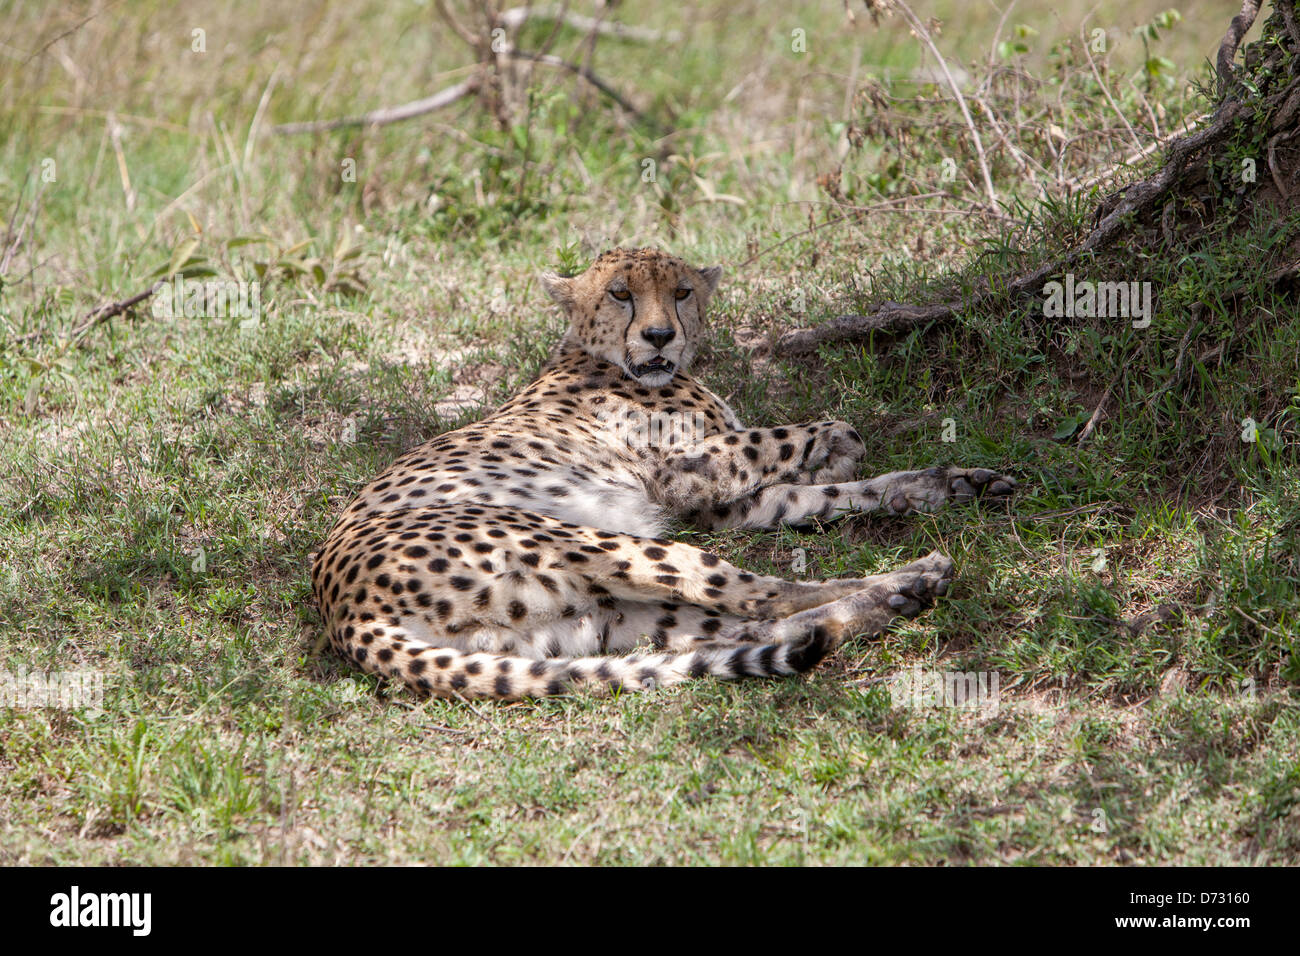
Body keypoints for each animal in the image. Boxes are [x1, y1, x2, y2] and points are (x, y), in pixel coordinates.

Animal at [310, 247, 1016, 700]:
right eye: (620, 294)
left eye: (681, 293)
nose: (657, 337)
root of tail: (340, 605)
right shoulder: (683, 477)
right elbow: (804, 435)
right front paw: (843, 443)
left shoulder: (715, 503)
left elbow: (824, 494)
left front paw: (947, 482)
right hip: (591, 543)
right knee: (764, 594)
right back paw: (907, 580)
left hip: (587, 619)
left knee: (747, 627)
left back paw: (885, 602)